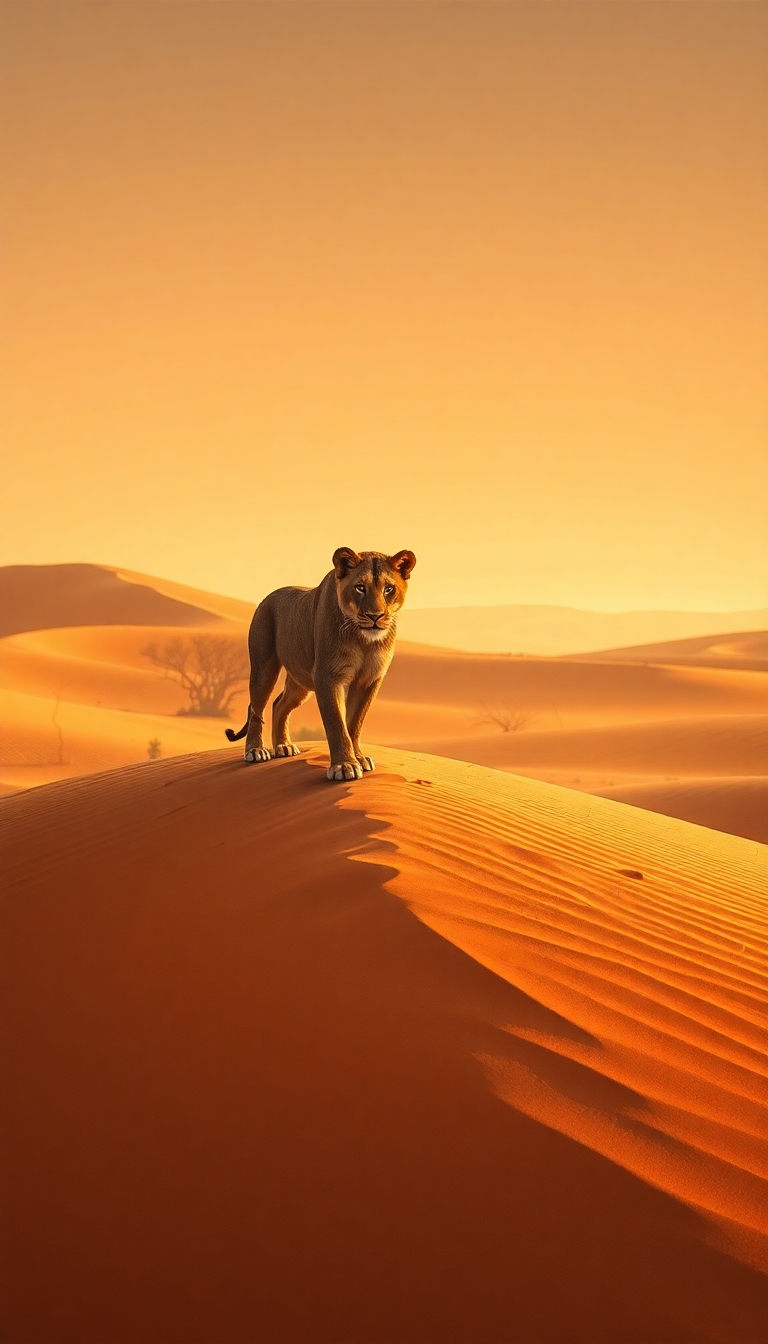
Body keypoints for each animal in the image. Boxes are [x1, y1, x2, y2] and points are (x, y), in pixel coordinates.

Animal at [225, 547, 416, 781]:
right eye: (360, 588)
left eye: (388, 588)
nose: (375, 616)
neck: (362, 639)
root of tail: (267, 598)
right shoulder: (328, 675)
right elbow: (336, 723)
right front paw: (344, 766)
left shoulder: (369, 680)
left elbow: (355, 723)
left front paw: (359, 758)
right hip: (264, 667)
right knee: (256, 708)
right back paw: (255, 750)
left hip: (301, 681)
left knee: (279, 703)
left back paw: (283, 746)